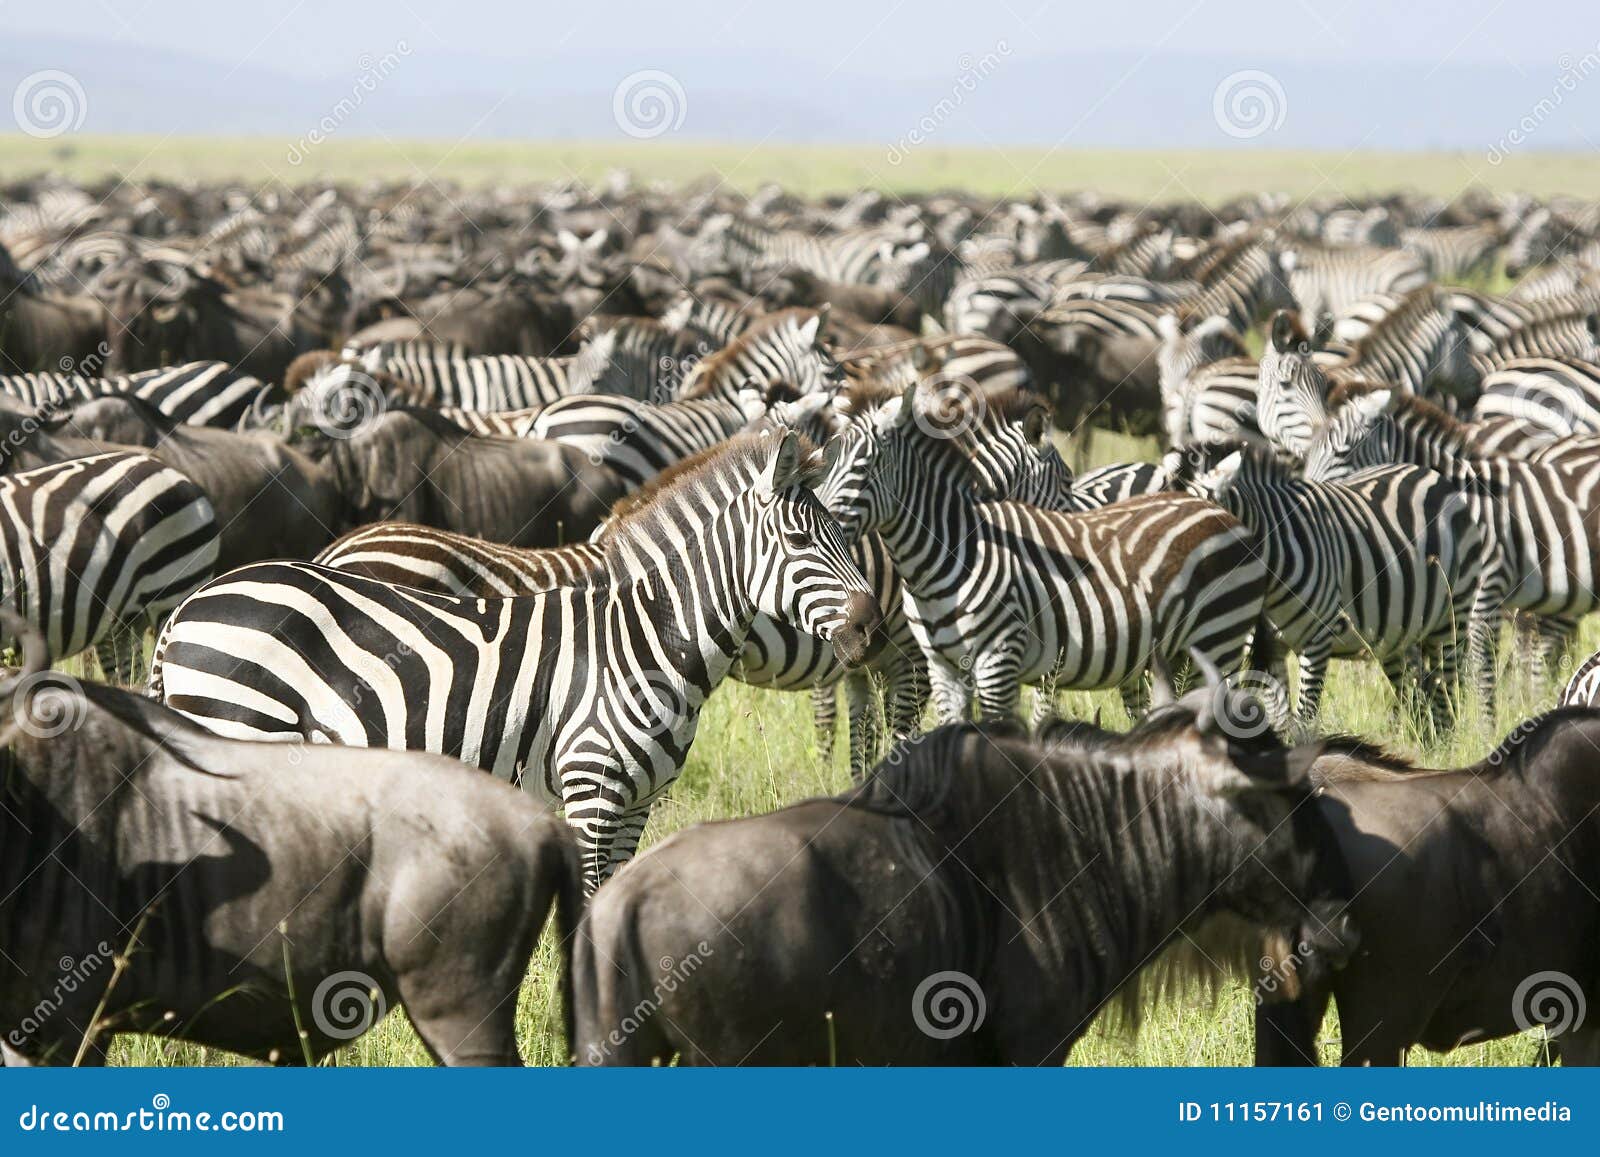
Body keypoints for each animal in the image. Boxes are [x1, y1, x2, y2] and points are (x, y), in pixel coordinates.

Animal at [149, 431, 881, 891]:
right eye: (798, 541)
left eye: (846, 535)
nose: (870, 625)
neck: (648, 639)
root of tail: (190, 607)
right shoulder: (592, 792)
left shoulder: (638, 804)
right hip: (238, 727)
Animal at [815, 380, 1268, 722]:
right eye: (824, 463)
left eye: (863, 468)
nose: (822, 523)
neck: (949, 553)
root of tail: (1218, 510)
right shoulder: (944, 668)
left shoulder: (998, 662)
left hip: (1217, 640)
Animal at [1173, 443, 1493, 731]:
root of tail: (1429, 474)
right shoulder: (1266, 647)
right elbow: (1279, 720)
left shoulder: (1316, 641)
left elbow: (1303, 722)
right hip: (1397, 633)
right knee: (1416, 693)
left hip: (1452, 616)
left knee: (1446, 692)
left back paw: (1448, 748)